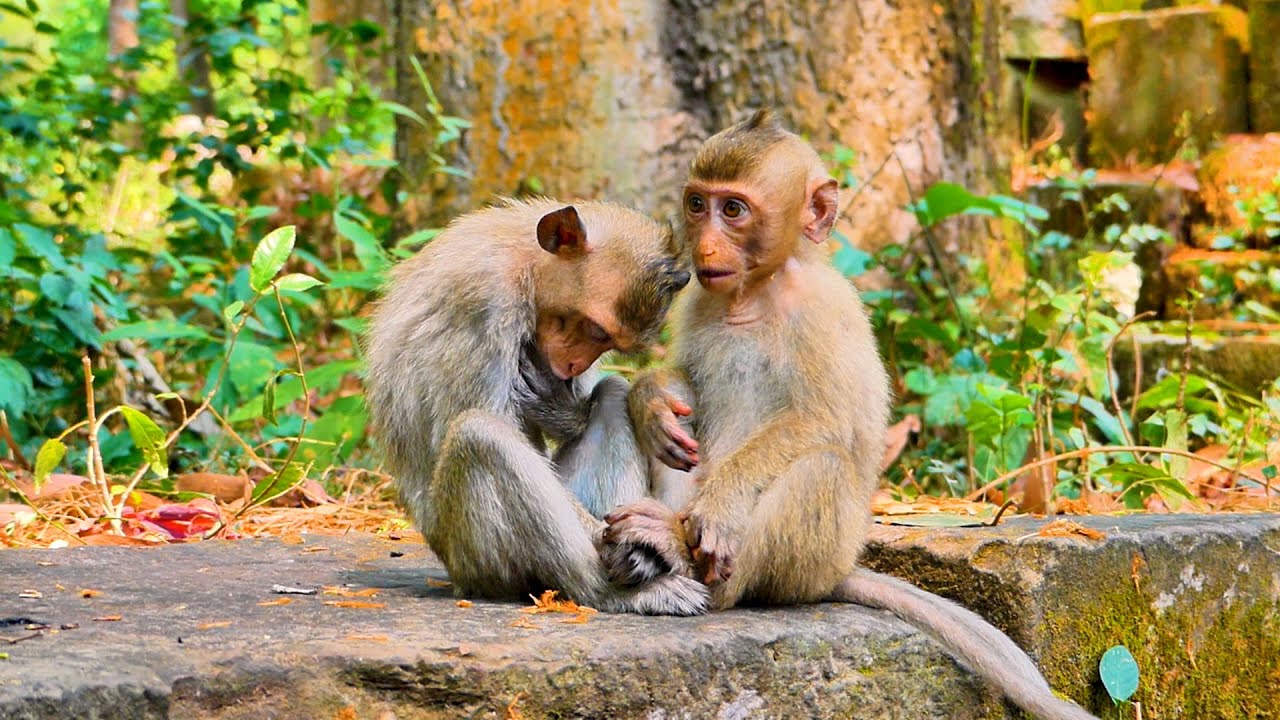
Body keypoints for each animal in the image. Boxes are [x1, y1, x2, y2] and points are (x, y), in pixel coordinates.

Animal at [364, 197, 707, 616]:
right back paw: (611, 592)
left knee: (611, 394)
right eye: (595, 329)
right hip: (475, 559)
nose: (574, 364)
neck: (523, 260)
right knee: (481, 434)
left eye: (606, 342)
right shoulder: (487, 301)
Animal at [601, 111, 1099, 720]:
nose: (707, 245)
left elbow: (825, 423)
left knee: (824, 465)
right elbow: (680, 384)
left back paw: (680, 552)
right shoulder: (699, 301)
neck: (757, 292)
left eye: (734, 210)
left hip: (816, 555)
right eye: (698, 204)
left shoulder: (821, 310)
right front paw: (650, 400)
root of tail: (836, 572)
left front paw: (719, 505)